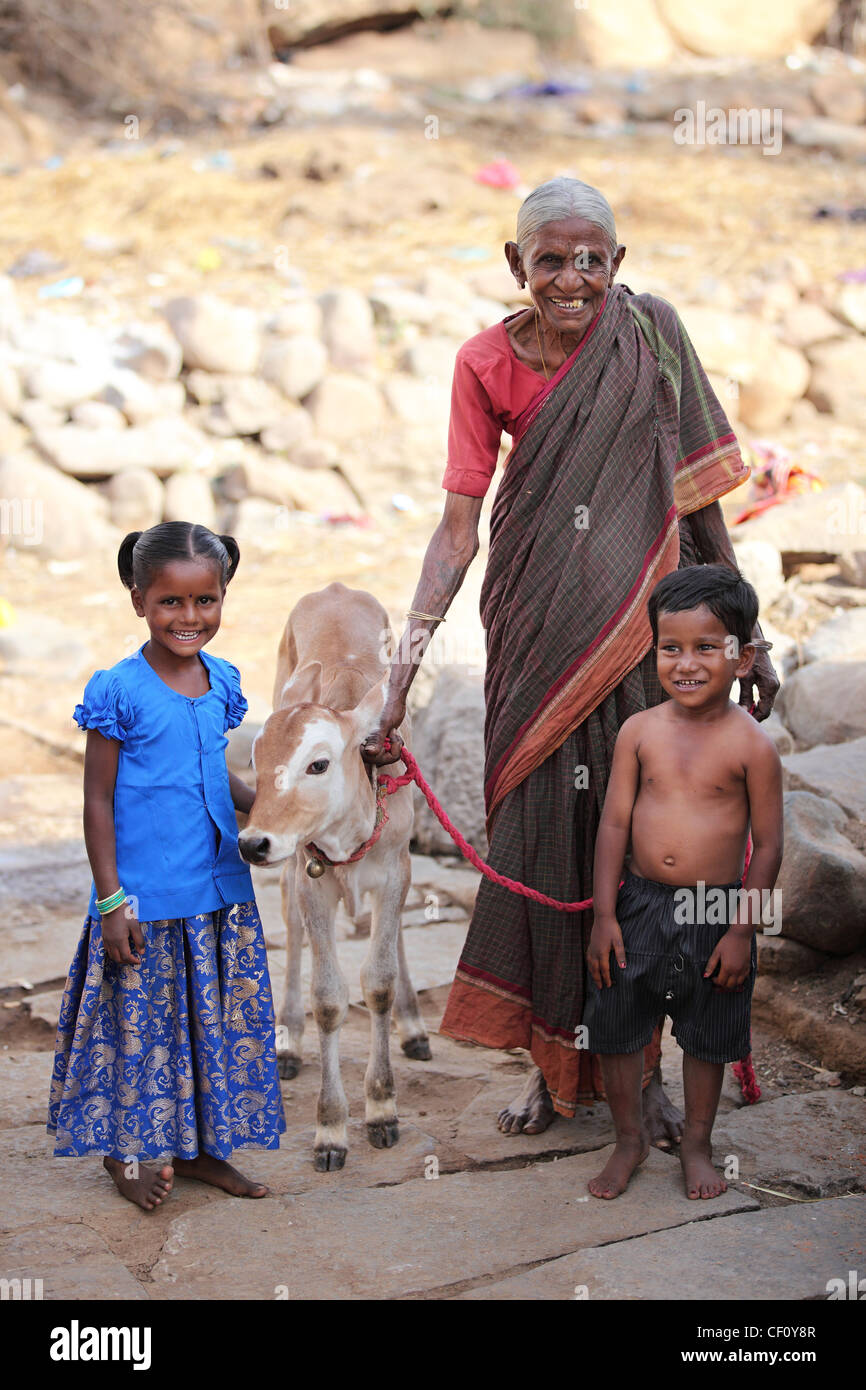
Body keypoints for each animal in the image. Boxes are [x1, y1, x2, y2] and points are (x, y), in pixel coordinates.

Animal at [238, 582, 431, 1171]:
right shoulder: (310, 876)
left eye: (318, 764)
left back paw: (415, 1027)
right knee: (291, 924)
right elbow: (327, 998)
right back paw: (286, 1039)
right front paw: (331, 1130)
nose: (252, 843)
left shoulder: (394, 869)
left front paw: (383, 1109)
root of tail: (336, 589)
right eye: (256, 760)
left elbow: (379, 982)